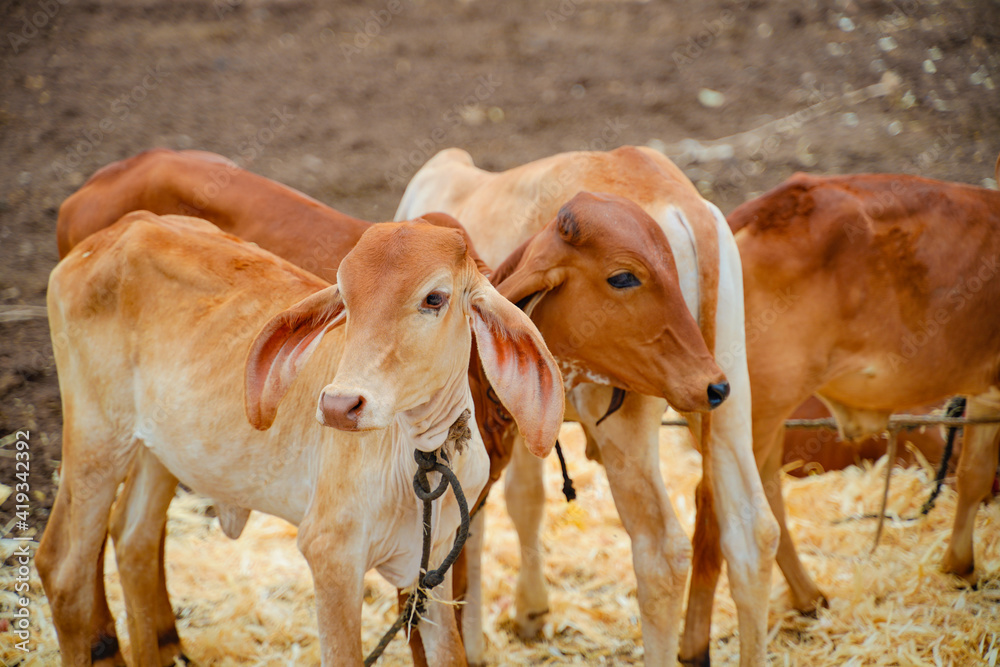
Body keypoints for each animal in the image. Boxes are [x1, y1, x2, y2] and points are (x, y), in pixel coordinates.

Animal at [38, 212, 565, 666]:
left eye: (435, 298)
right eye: (346, 299)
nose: (339, 404)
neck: (419, 458)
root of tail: (120, 231)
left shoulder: (431, 568)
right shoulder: (331, 555)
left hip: (157, 449)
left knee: (134, 540)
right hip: (96, 438)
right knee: (64, 571)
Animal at [396, 146, 780, 667]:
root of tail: (685, 203)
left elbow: (502, 508)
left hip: (628, 428)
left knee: (661, 552)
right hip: (727, 392)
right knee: (753, 533)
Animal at [717, 172, 1000, 632]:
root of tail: (772, 205)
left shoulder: (984, 394)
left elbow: (974, 473)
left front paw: (960, 568)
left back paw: (807, 597)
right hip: (760, 409)